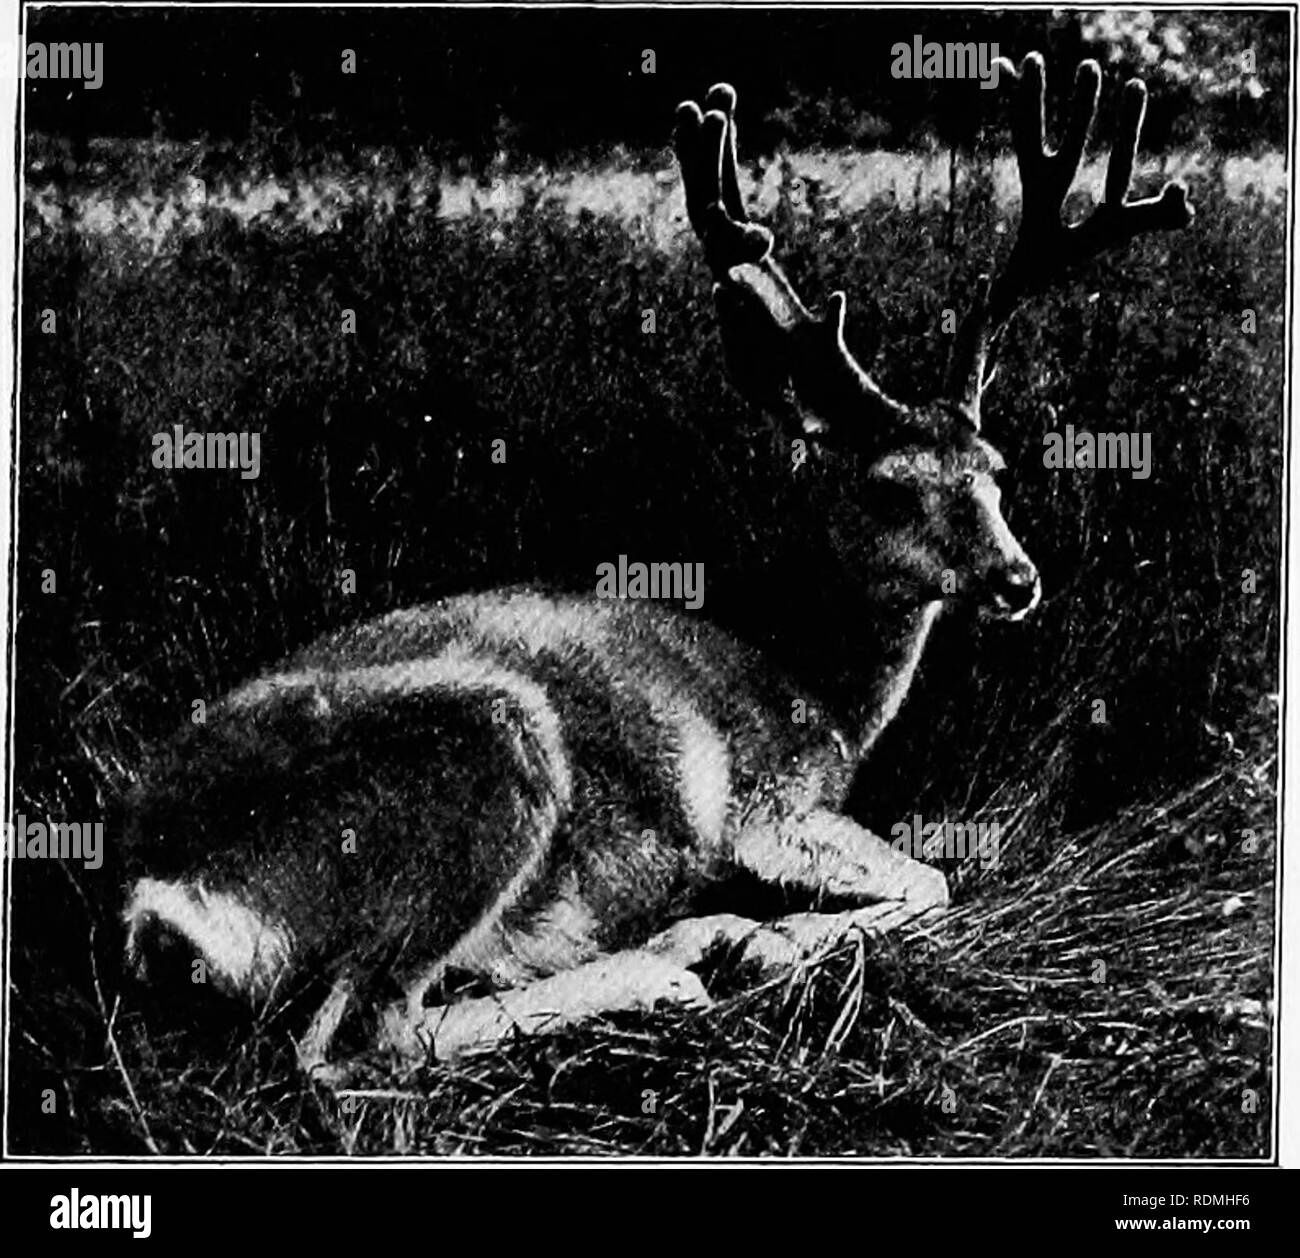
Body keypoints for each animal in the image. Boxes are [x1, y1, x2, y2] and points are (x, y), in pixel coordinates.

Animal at [120, 54, 1191, 1081]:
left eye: (998, 472)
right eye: (889, 489)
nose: (1018, 580)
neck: (818, 690)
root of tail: (159, 891)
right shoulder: (767, 805)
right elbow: (931, 877)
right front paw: (786, 935)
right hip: (488, 740)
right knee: (353, 1039)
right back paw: (676, 966)